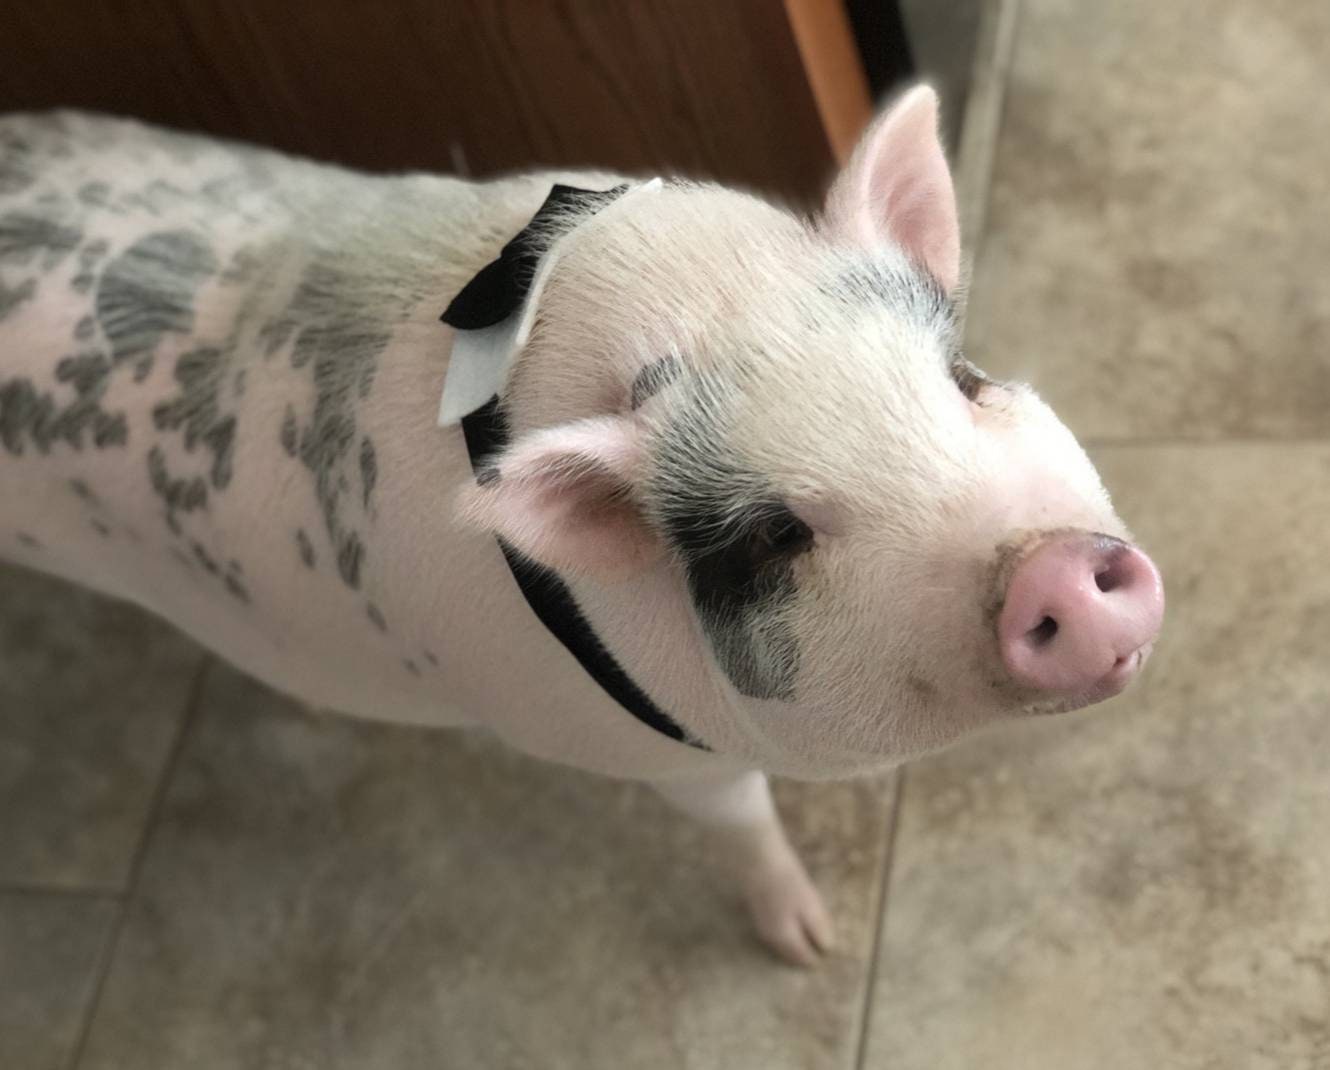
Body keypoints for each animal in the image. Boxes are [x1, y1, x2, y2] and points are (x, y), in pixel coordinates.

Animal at [0, 87, 1163, 966]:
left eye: (963, 379)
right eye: (776, 537)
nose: (1054, 571)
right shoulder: (653, 747)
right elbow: (742, 818)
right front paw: (811, 945)